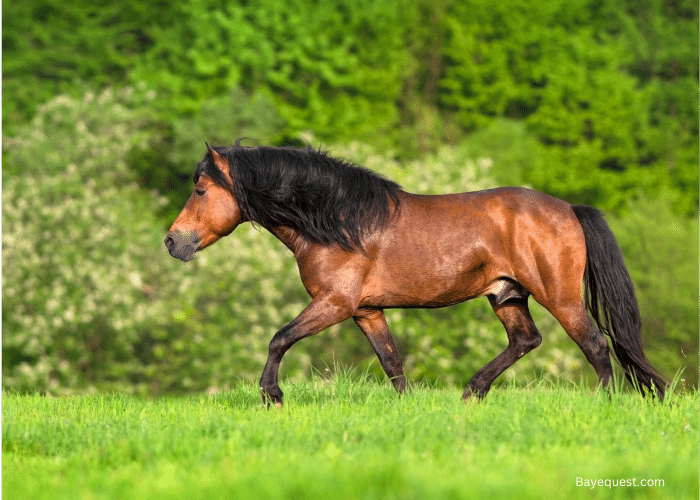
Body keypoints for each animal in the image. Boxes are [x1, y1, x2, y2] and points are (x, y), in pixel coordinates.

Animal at [164, 142, 666, 406]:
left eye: (200, 189)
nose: (172, 241)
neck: (339, 221)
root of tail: (569, 209)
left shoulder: (334, 303)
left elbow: (279, 338)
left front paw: (272, 395)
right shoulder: (366, 311)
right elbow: (392, 363)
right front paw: (406, 410)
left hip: (558, 296)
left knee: (595, 345)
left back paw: (604, 403)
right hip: (506, 294)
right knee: (526, 340)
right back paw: (471, 393)